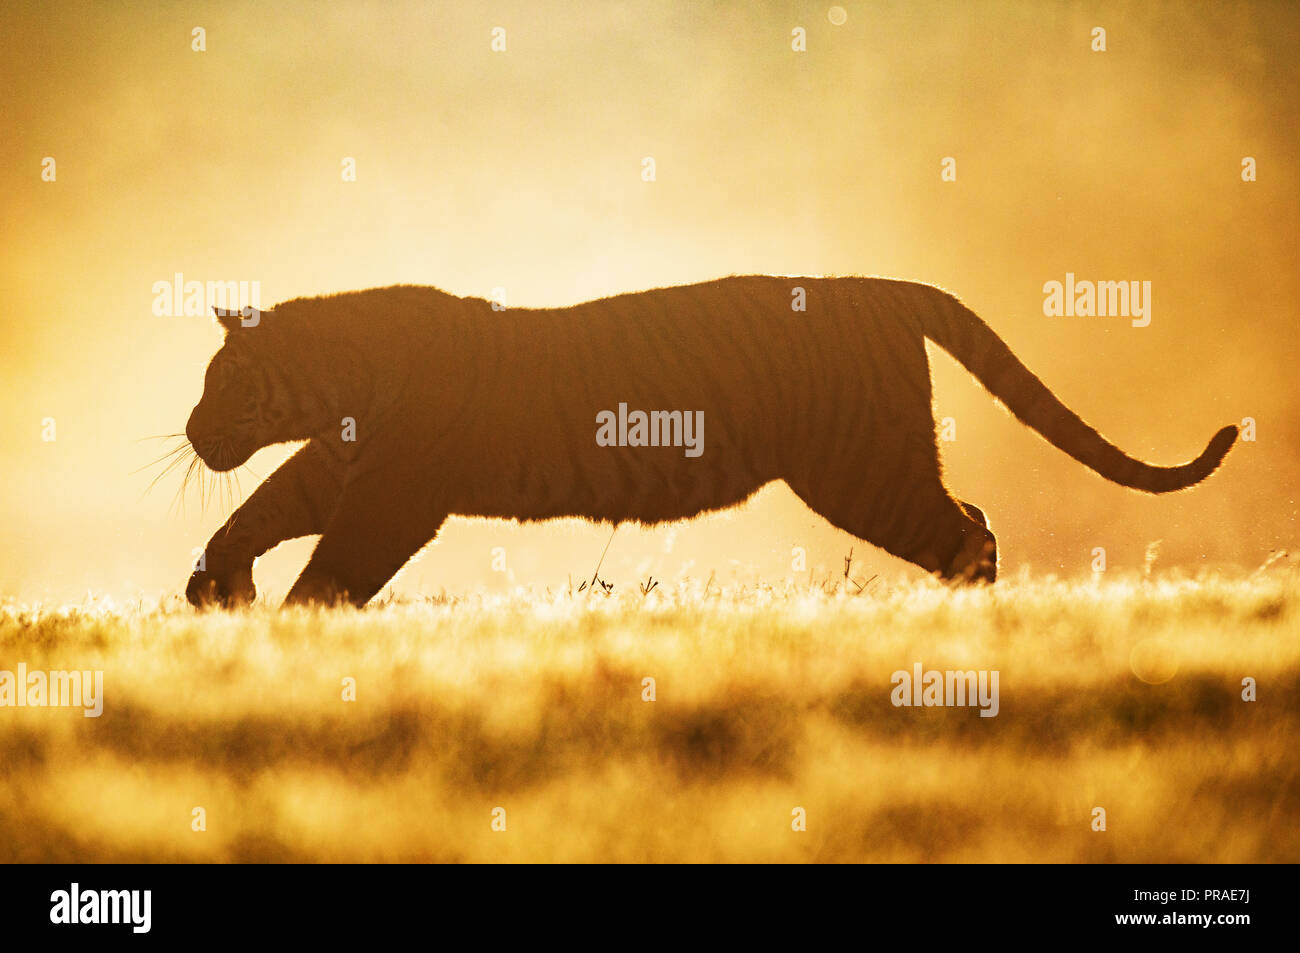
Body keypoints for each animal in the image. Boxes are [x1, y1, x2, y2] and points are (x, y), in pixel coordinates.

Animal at [182, 276, 1237, 607]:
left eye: (225, 383)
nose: (190, 430)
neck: (337, 383)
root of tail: (878, 286)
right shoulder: (340, 467)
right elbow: (263, 508)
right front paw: (215, 585)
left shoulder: (393, 487)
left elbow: (332, 565)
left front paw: (287, 630)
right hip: (878, 466)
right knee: (972, 515)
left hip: (858, 469)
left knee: (966, 532)